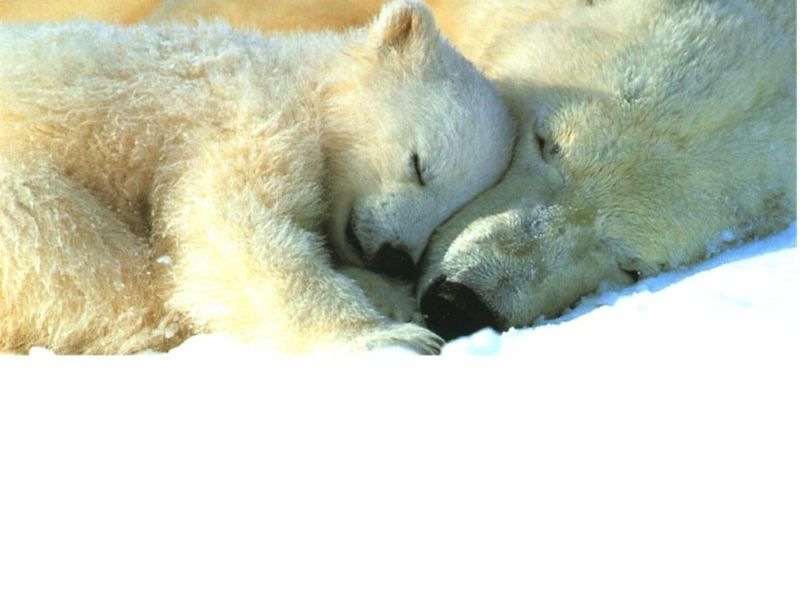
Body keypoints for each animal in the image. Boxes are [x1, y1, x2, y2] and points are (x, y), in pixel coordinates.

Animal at [0, 0, 515, 354]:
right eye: (418, 164)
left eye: (450, 213)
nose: (396, 258)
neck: (299, 77)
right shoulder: (250, 115)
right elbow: (236, 229)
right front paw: (394, 336)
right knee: (73, 251)